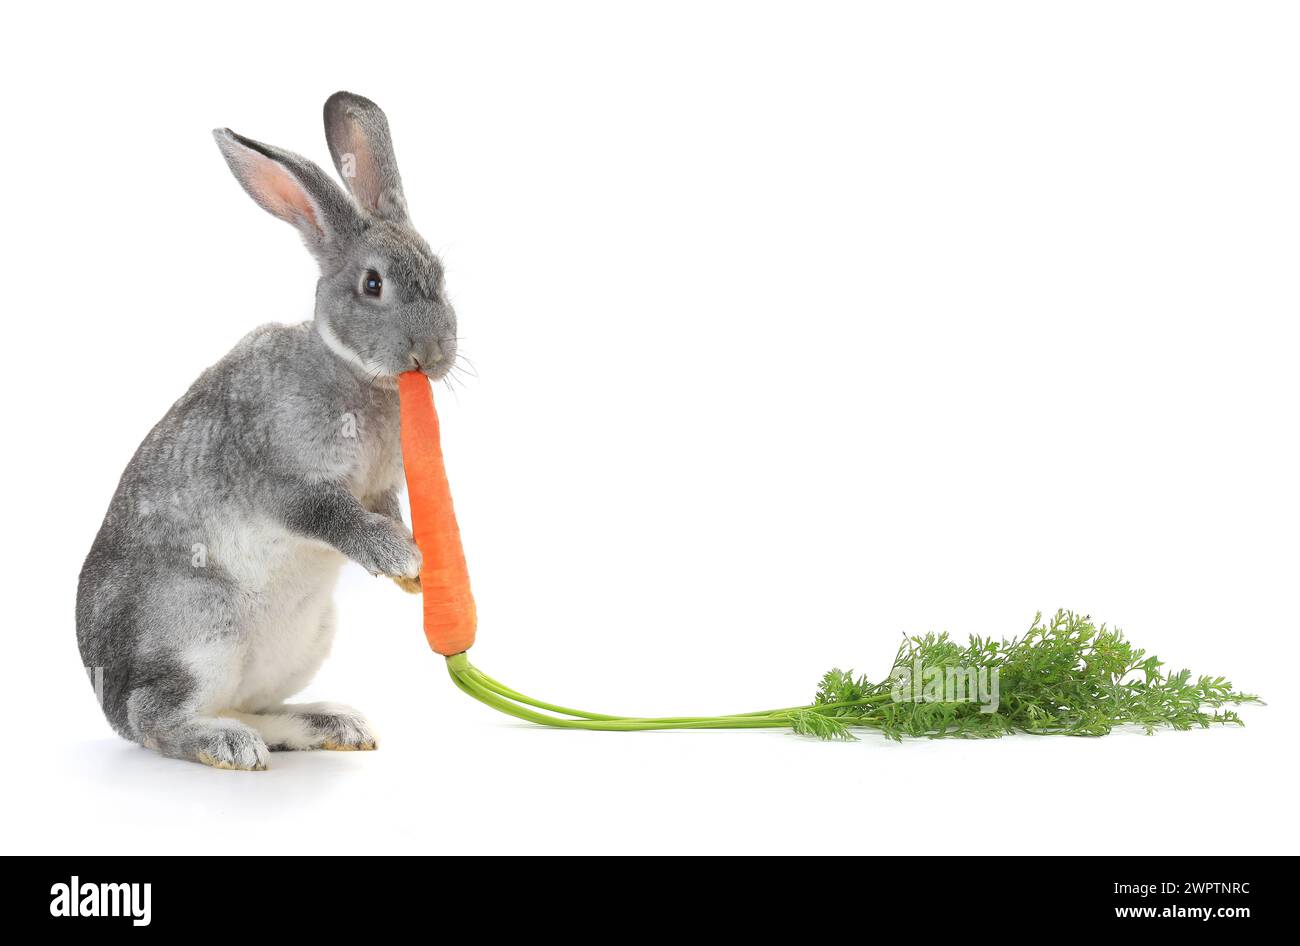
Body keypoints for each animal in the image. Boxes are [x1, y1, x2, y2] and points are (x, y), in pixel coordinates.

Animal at [76, 92, 456, 770]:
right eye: (373, 284)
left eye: (439, 271)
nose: (434, 354)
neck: (350, 372)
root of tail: (107, 697)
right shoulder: (286, 482)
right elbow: (336, 516)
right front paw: (402, 558)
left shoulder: (381, 489)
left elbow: (387, 512)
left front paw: (414, 573)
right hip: (199, 631)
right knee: (157, 721)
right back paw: (227, 747)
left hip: (298, 645)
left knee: (250, 706)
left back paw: (333, 726)